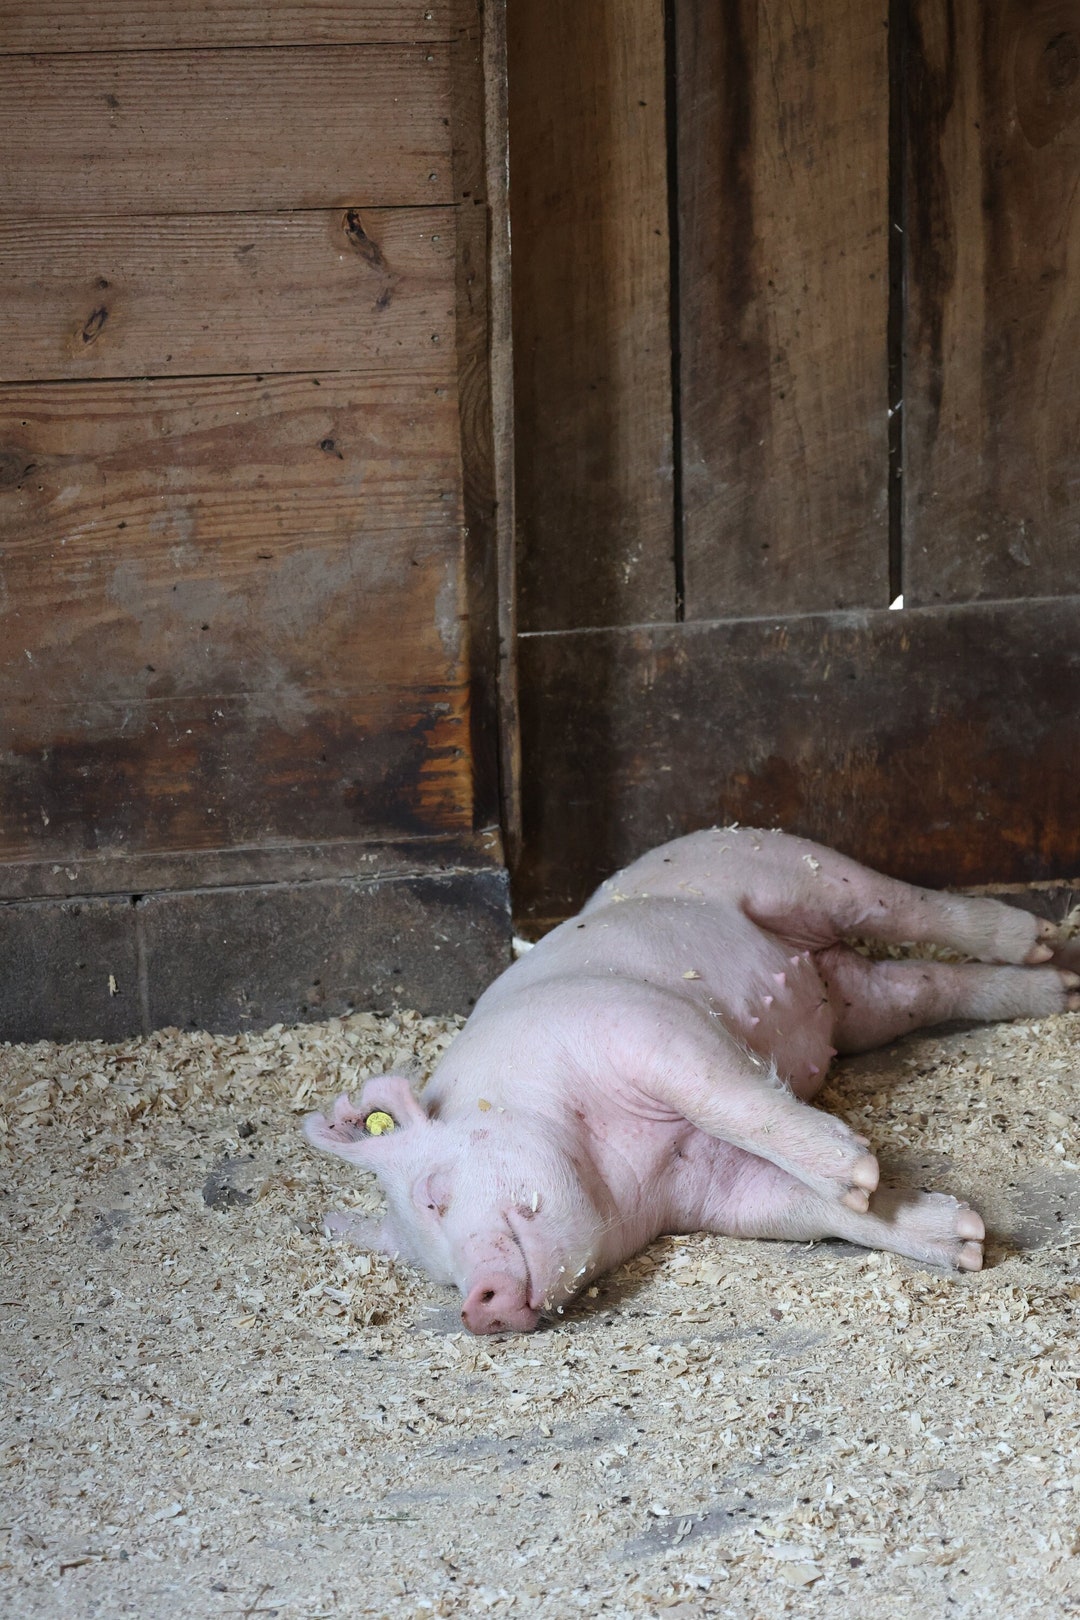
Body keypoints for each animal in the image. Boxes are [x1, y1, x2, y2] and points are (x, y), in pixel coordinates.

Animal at [304, 828, 1080, 1334]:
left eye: (434, 1194)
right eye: (434, 1270)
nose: (474, 1307)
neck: (617, 1170)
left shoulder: (642, 1027)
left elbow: (721, 1095)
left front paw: (855, 1173)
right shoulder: (706, 1190)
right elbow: (797, 1210)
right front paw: (965, 1241)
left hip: (789, 870)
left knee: (905, 905)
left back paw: (1041, 942)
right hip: (857, 1007)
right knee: (925, 986)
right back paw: (1059, 991)